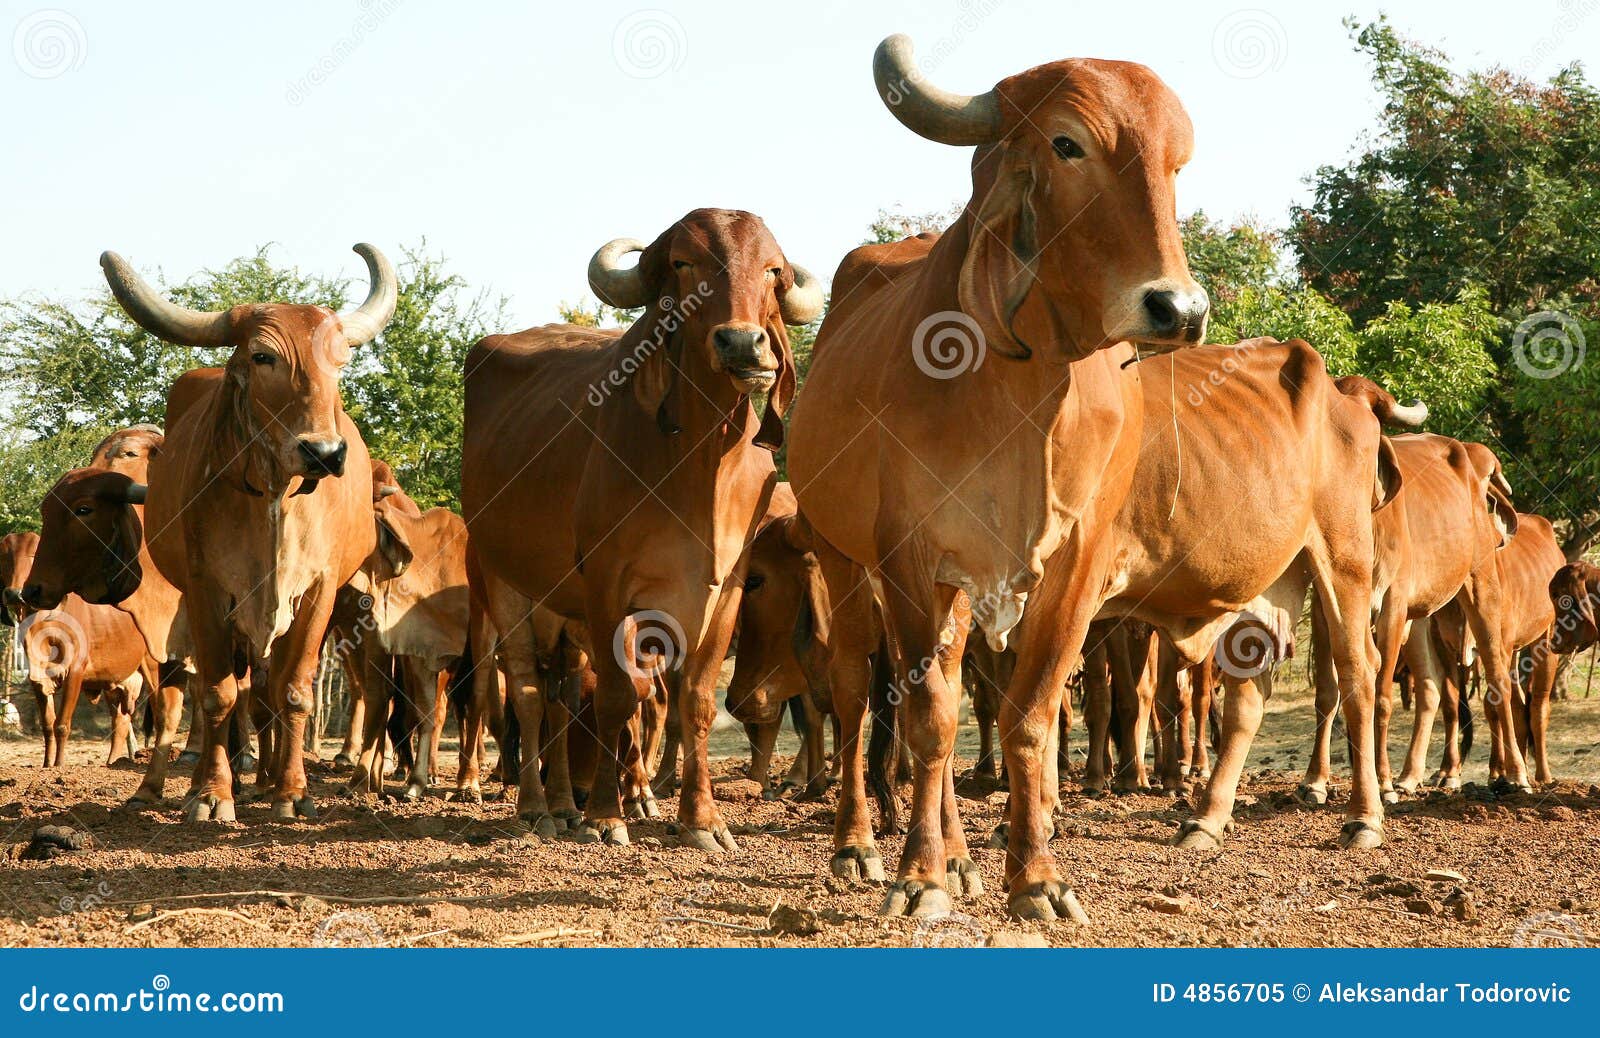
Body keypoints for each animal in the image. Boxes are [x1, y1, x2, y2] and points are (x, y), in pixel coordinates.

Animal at [31, 244, 397, 822]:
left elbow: (293, 691)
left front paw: (292, 792)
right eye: (263, 357)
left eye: (339, 361)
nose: (324, 452)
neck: (273, 501)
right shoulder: (204, 593)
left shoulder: (317, 592)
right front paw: (211, 794)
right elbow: (215, 696)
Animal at [462, 209, 823, 849]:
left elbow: (693, 702)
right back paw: (538, 807)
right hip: (503, 584)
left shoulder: (723, 590)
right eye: (684, 262)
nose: (741, 342)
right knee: (526, 692)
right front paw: (608, 816)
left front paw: (701, 820)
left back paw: (568, 803)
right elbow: (617, 698)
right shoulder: (610, 589)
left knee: (560, 698)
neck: (697, 466)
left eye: (771, 269)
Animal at [787, 34, 1210, 920]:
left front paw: (1036, 879)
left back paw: (961, 858)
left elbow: (1031, 716)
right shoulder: (907, 557)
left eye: (1176, 162)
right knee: (858, 691)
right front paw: (916, 878)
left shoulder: (1077, 564)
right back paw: (862, 848)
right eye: (1067, 143)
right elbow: (927, 718)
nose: (1177, 309)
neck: (1023, 399)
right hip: (841, 559)